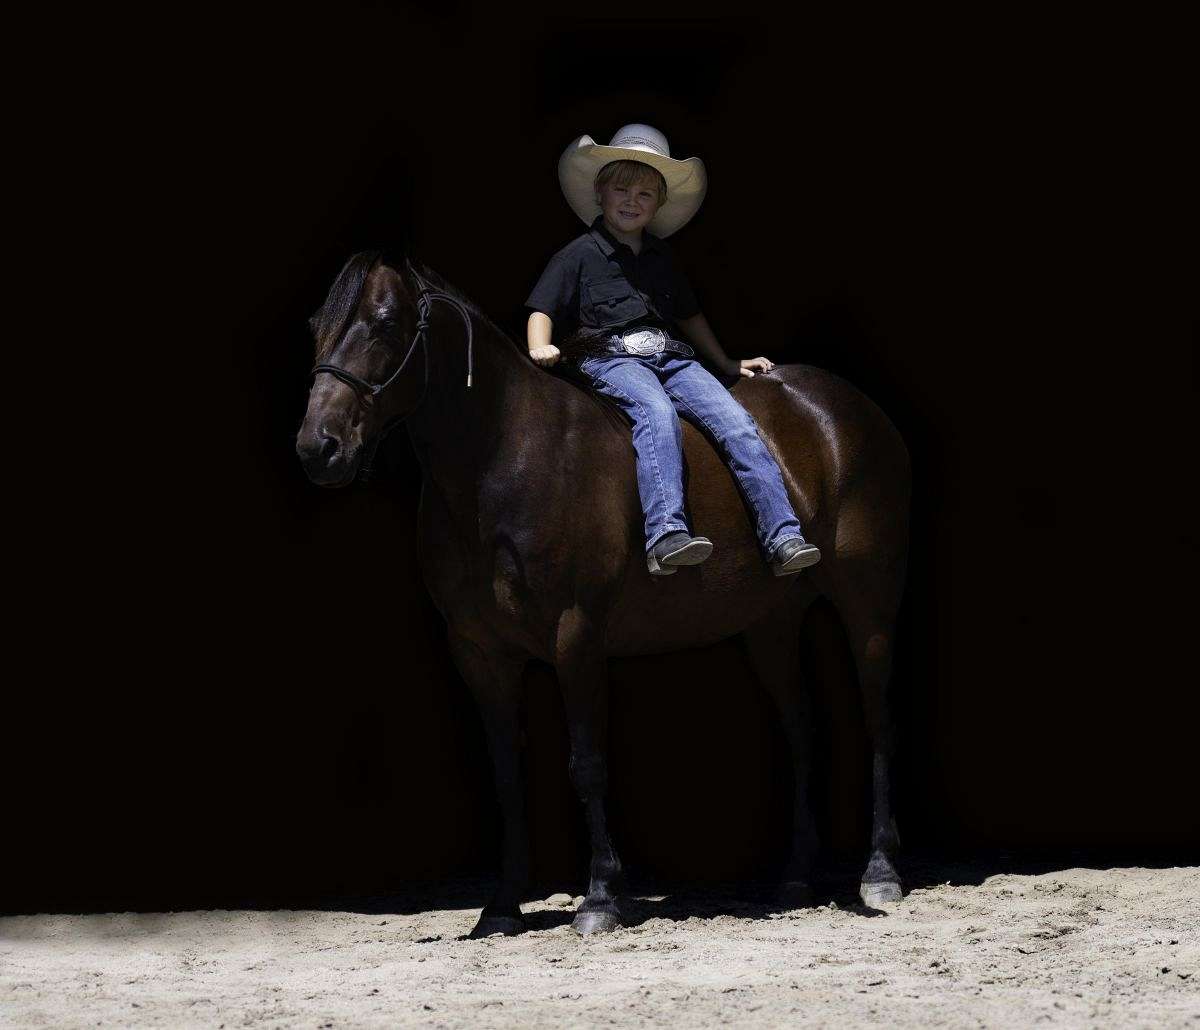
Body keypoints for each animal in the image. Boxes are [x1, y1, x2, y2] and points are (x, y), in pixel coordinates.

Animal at [295, 251, 911, 936]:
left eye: (384, 322)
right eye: (317, 325)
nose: (318, 448)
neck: (503, 460)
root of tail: (848, 408)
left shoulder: (578, 637)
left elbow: (586, 764)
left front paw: (599, 898)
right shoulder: (480, 653)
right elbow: (505, 775)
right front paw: (502, 905)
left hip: (868, 601)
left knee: (878, 720)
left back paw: (880, 872)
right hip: (772, 621)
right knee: (802, 730)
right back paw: (796, 877)